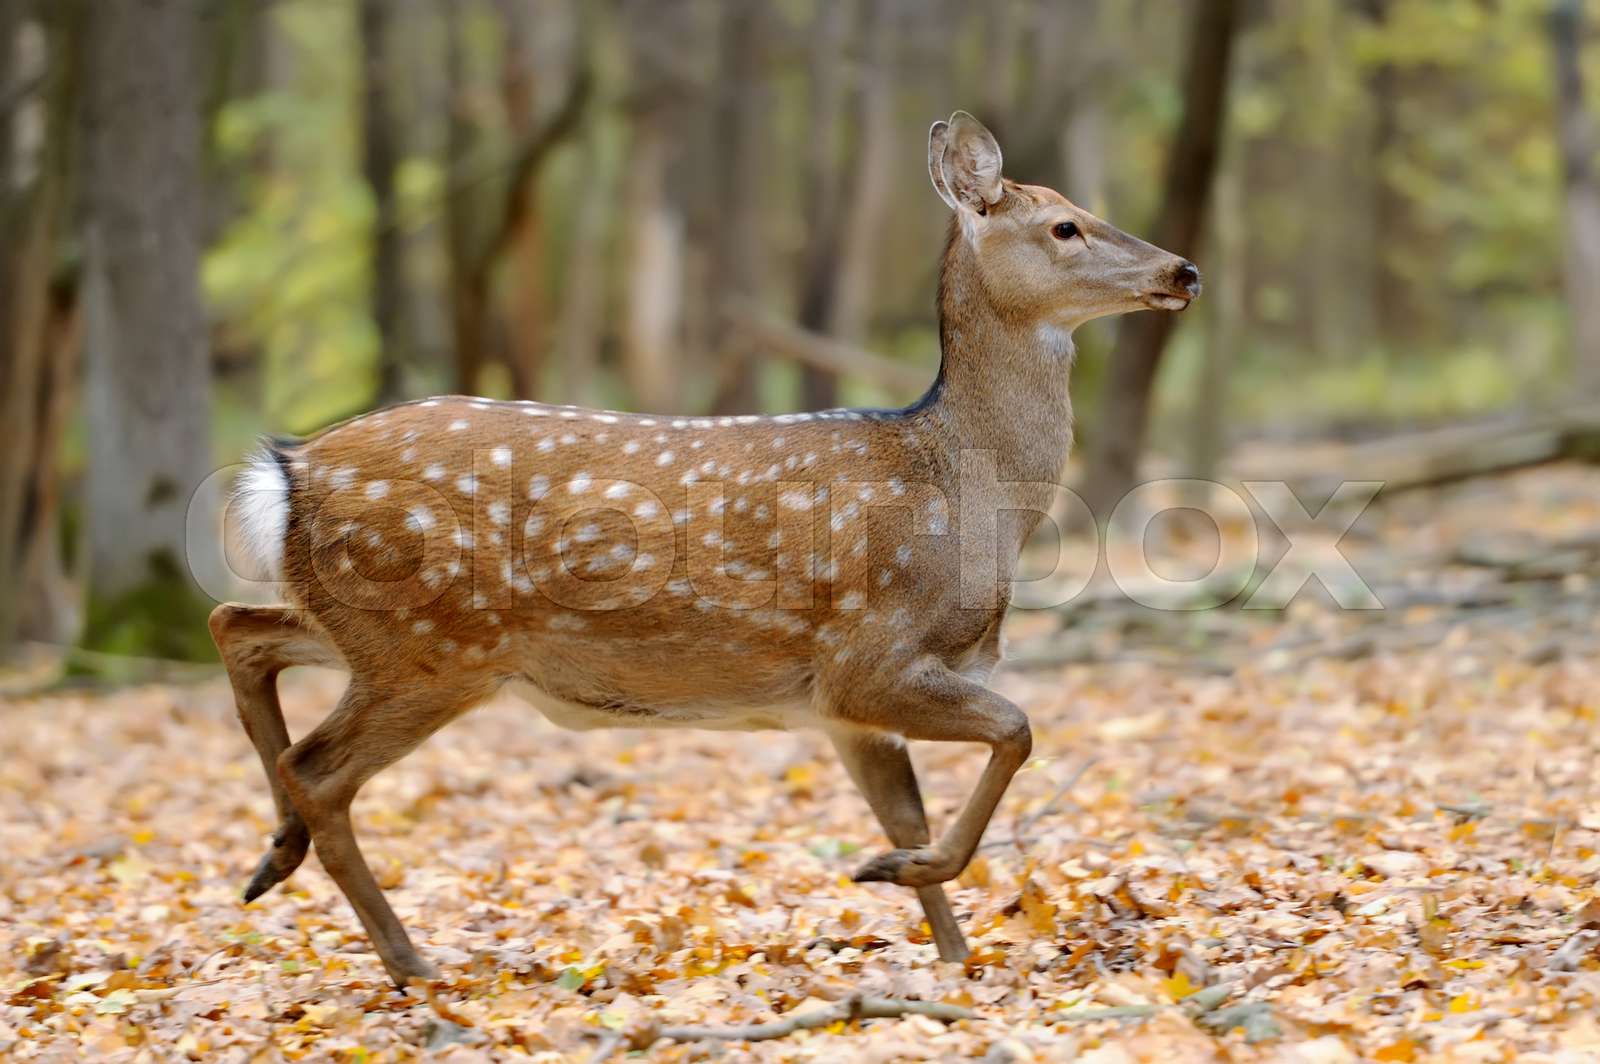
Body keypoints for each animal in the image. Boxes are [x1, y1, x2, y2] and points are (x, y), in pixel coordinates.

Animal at [210, 112, 1200, 990]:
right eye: (1064, 225)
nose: (1183, 269)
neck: (960, 488)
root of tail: (289, 470)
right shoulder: (868, 656)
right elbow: (1016, 732)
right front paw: (901, 881)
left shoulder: (838, 706)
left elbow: (906, 814)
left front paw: (950, 952)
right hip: (434, 643)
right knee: (317, 765)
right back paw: (409, 960)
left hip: (372, 630)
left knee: (240, 627)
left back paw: (273, 858)